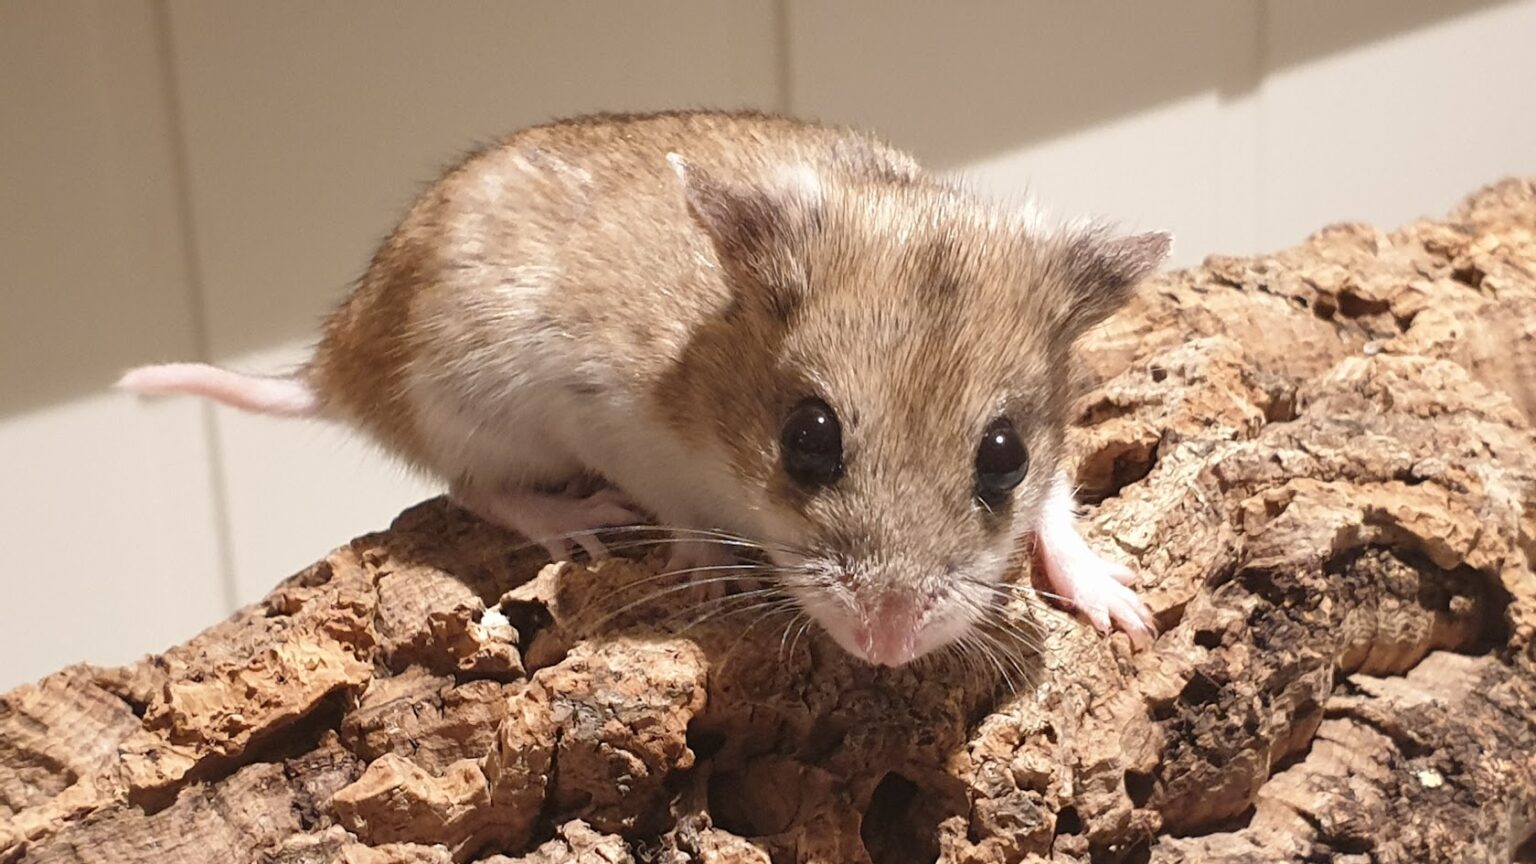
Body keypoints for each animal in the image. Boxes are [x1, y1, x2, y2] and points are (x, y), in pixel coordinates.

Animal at [120, 110, 1167, 666]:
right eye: (808, 437)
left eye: (1004, 456)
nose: (885, 644)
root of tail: (338, 362)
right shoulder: (622, 425)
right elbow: (681, 514)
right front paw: (703, 572)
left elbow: (1060, 509)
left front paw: (1126, 609)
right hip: (476, 412)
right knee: (474, 488)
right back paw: (579, 523)